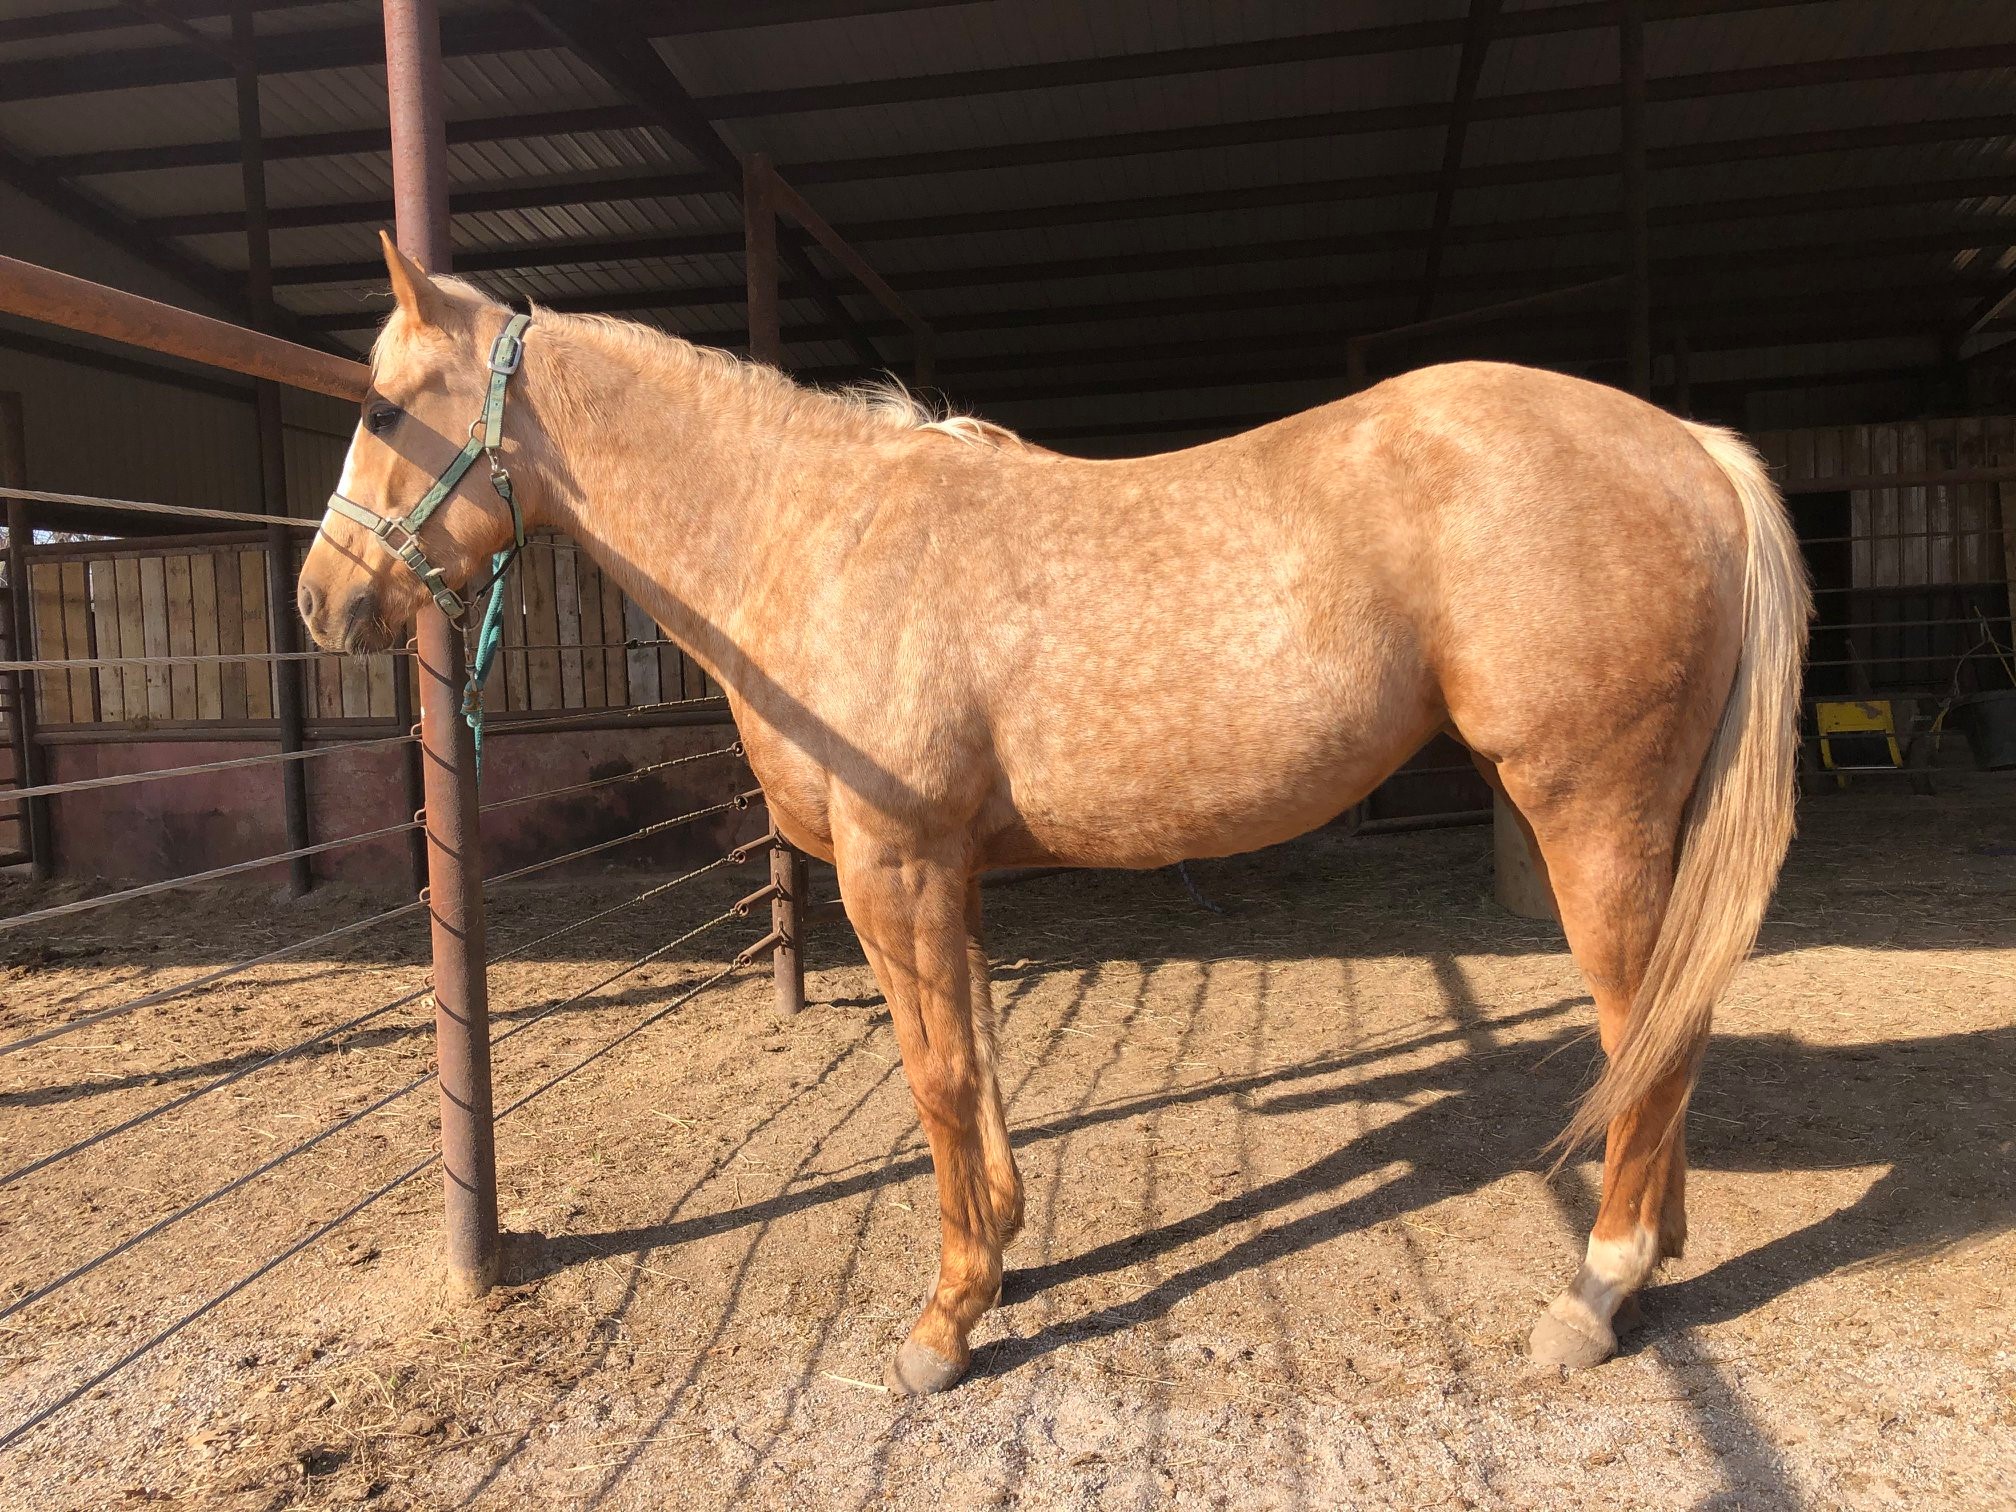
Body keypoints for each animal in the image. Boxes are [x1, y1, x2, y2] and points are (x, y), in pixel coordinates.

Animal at [298, 234, 1808, 1396]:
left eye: (378, 411)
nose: (319, 603)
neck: (814, 529)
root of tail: (1689, 445)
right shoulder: (947, 870)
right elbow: (975, 1059)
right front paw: (1003, 1259)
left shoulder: (893, 865)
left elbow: (936, 1074)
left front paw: (944, 1321)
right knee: (1665, 1033)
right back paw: (1655, 1256)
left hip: (1594, 813)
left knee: (1648, 1031)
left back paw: (1596, 1292)